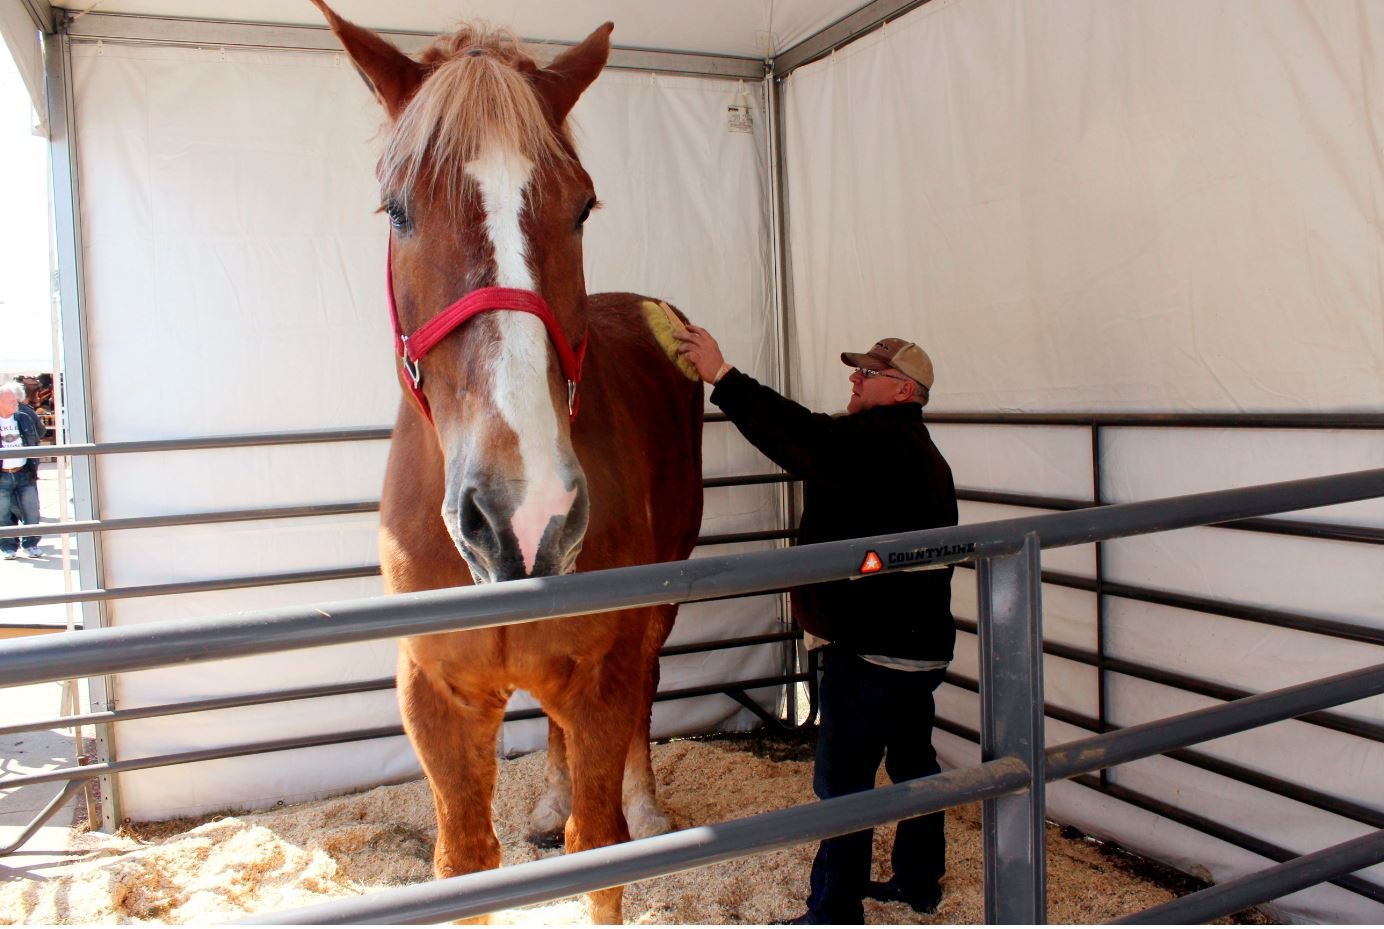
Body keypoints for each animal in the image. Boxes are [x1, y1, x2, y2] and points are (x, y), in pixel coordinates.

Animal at [310, 3, 705, 922]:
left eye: (583, 207)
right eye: (398, 210)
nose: (526, 517)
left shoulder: (602, 677)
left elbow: (599, 853)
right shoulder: (439, 698)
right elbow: (466, 862)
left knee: (648, 687)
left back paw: (647, 801)